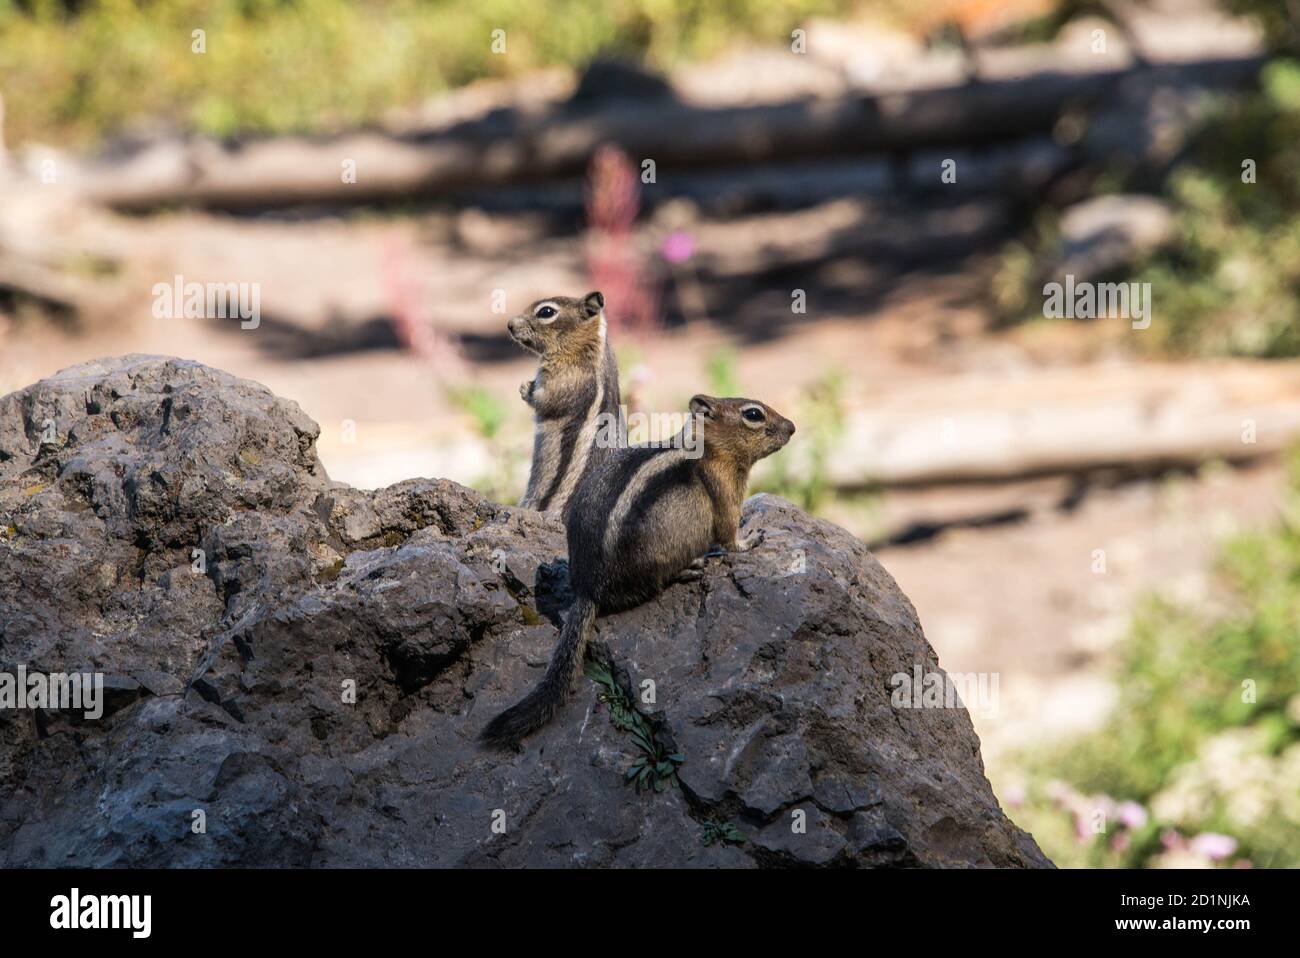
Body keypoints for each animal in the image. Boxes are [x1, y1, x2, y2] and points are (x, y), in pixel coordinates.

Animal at [481, 394, 796, 748]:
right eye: (753, 414)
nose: (793, 427)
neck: (706, 449)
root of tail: (589, 588)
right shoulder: (725, 492)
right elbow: (729, 535)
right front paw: (751, 538)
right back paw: (688, 569)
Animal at [509, 291, 621, 516]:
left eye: (546, 312)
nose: (509, 324)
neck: (584, 346)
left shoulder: (563, 378)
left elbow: (544, 399)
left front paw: (526, 389)